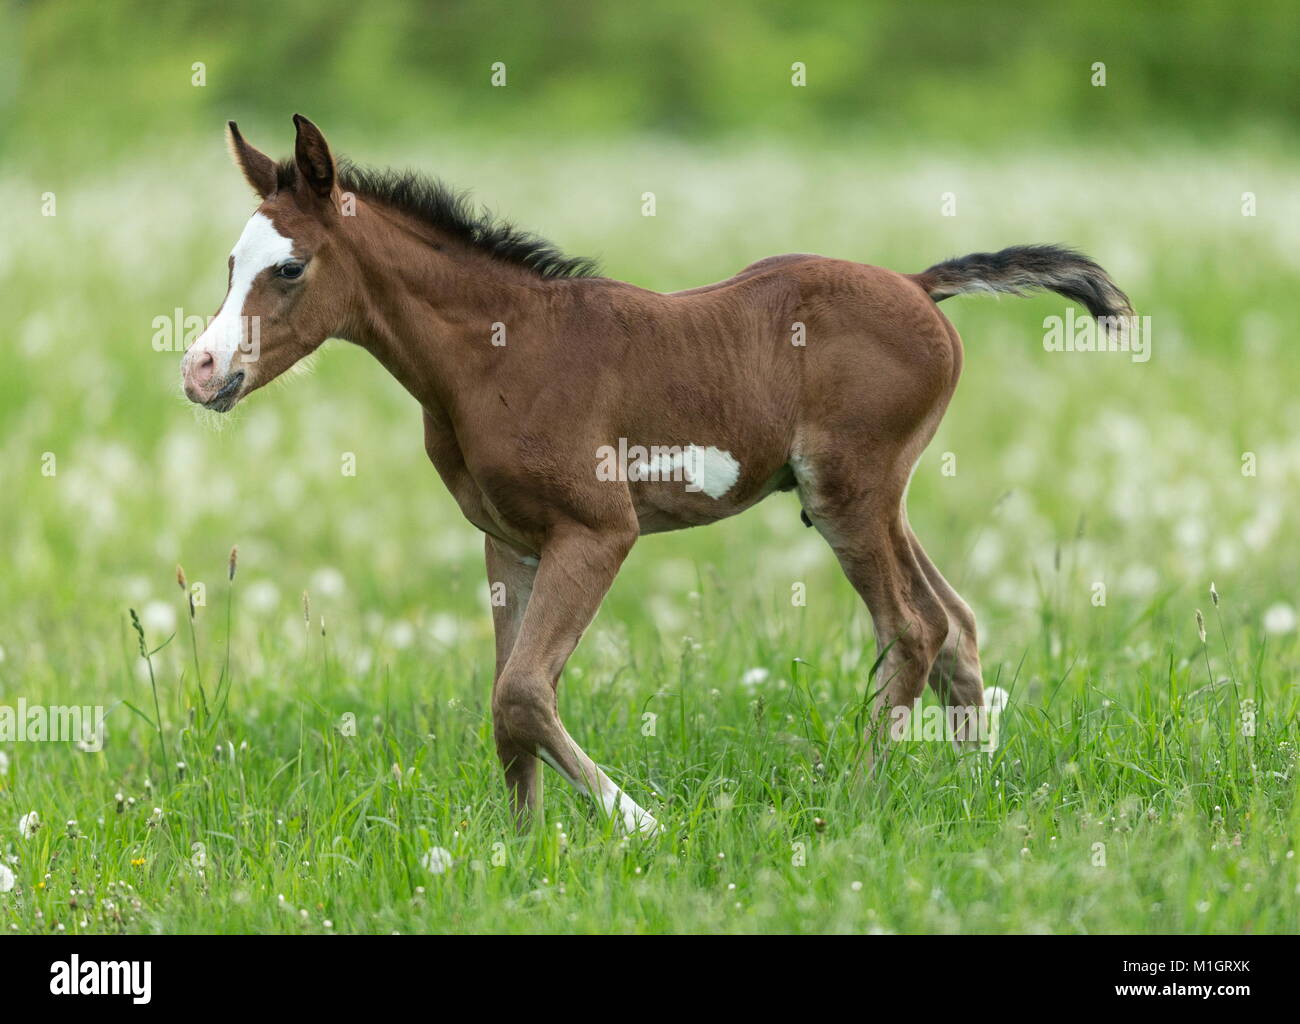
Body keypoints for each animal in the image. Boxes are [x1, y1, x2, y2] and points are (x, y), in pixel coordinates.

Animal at [180, 115, 1133, 835]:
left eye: (289, 267)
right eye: (230, 264)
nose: (200, 368)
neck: (496, 352)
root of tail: (916, 282)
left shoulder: (599, 531)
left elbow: (524, 691)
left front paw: (638, 822)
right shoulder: (509, 543)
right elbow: (504, 702)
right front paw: (520, 850)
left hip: (848, 497)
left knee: (912, 627)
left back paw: (858, 801)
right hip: (867, 499)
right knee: (957, 624)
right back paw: (975, 795)